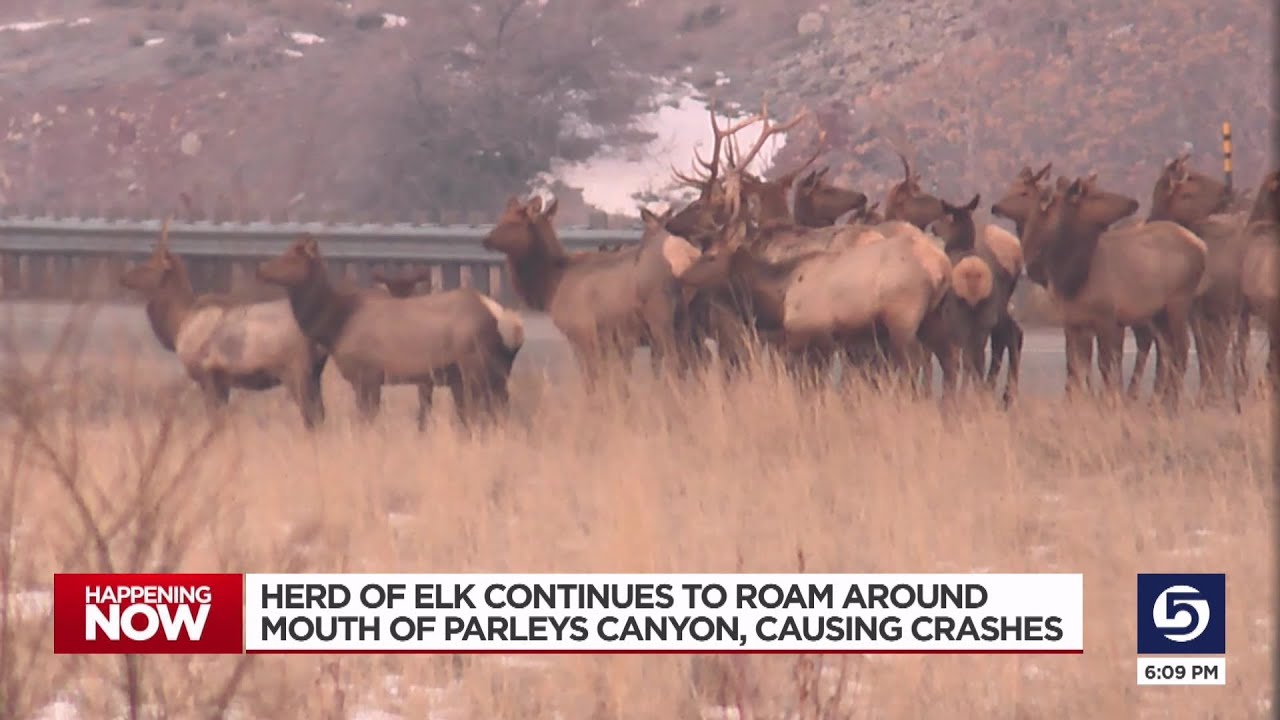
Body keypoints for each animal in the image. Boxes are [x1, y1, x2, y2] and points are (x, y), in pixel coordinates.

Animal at [119, 219, 328, 428]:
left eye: (148, 266)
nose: (123, 278)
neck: (179, 324)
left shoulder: (207, 375)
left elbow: (215, 419)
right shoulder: (222, 381)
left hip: (296, 370)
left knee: (311, 416)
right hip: (315, 372)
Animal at [257, 235, 524, 429]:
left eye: (293, 257)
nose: (262, 270)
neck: (335, 325)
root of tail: (506, 323)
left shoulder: (367, 374)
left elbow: (367, 420)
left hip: (475, 369)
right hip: (488, 374)